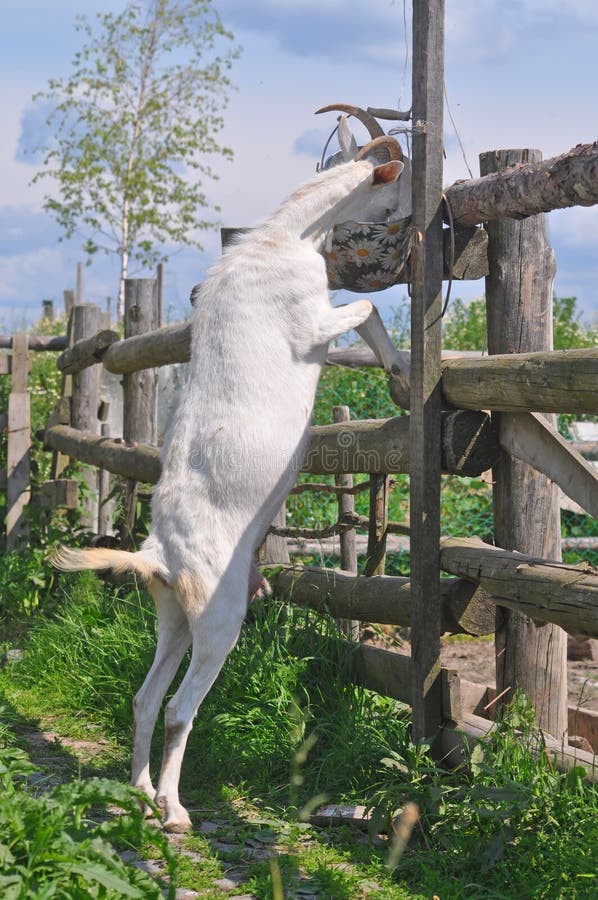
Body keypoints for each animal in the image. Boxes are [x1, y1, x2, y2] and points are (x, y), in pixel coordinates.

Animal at [51, 135, 404, 833]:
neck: (283, 235)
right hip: (218, 621)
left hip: (174, 617)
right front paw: (401, 369)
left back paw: (140, 790)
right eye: (390, 188)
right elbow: (367, 307)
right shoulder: (311, 320)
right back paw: (173, 809)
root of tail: (158, 554)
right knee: (180, 708)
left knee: (144, 699)